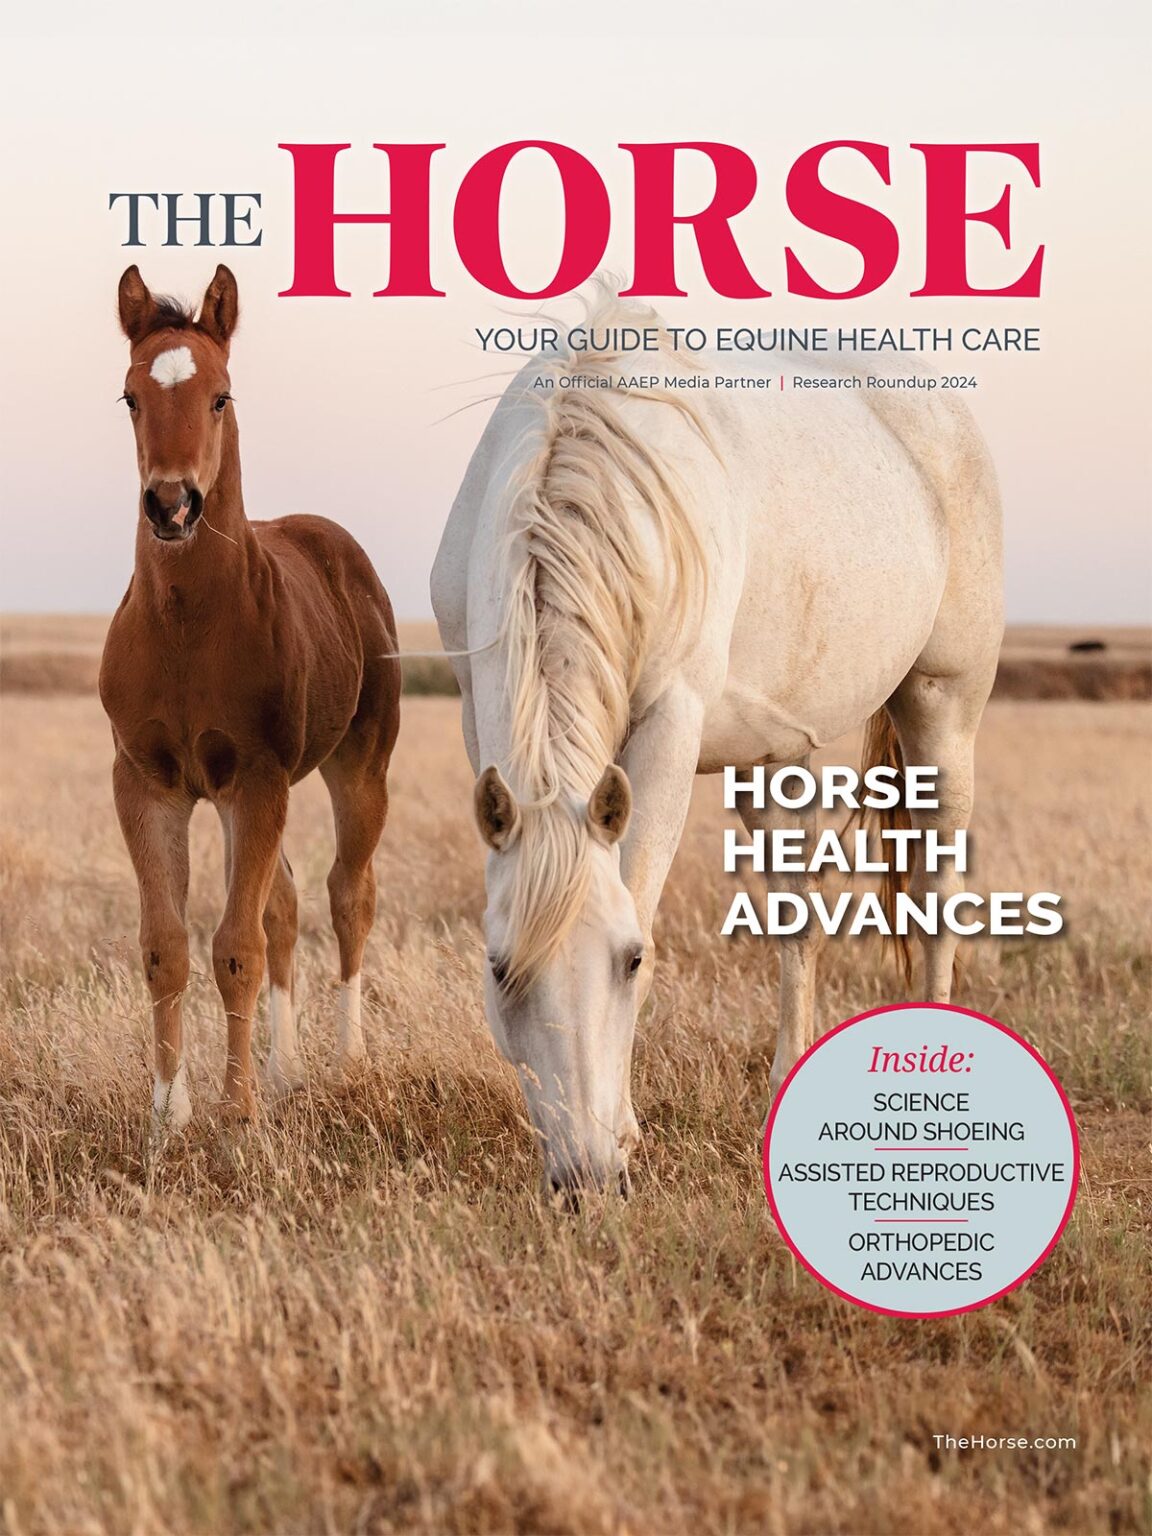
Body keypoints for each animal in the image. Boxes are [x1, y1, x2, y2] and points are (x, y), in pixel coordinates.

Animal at [100, 265, 400, 1129]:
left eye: (220, 397)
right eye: (131, 397)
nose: (172, 506)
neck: (187, 628)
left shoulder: (257, 779)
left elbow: (236, 947)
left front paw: (235, 1115)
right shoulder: (146, 782)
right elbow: (166, 945)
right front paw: (168, 1115)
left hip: (359, 766)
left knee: (347, 894)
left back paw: (345, 1061)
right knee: (287, 905)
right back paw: (284, 1069)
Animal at [432, 294, 1003, 1195]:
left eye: (630, 962)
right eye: (497, 967)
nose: (586, 1181)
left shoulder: (670, 724)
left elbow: (639, 890)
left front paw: (627, 1132)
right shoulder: (477, 713)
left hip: (944, 714)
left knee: (937, 895)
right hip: (773, 760)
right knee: (799, 919)